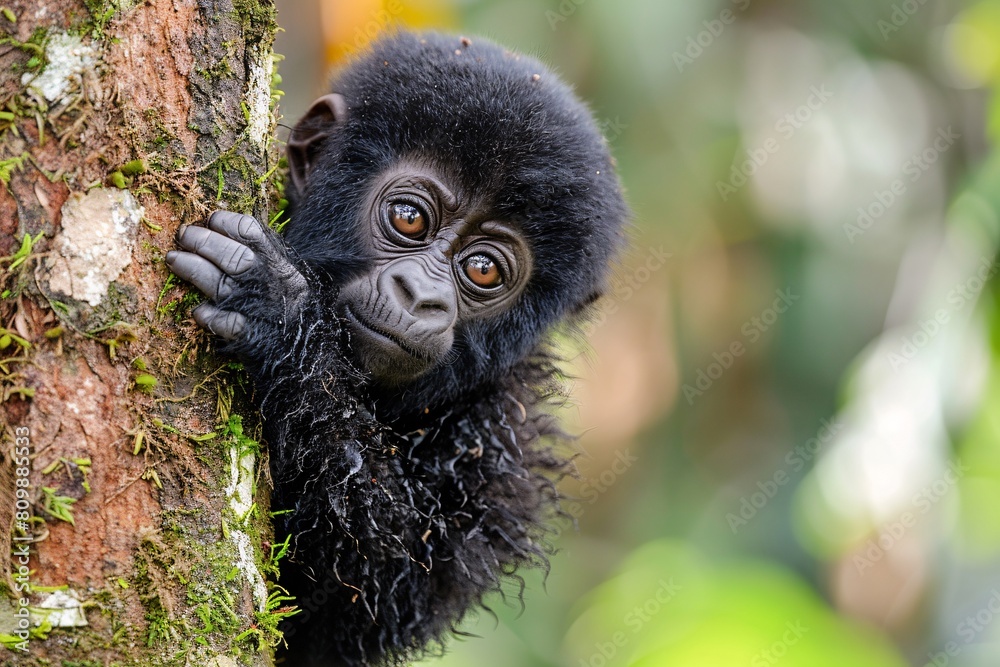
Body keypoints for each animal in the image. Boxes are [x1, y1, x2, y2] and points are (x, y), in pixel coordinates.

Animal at [165, 31, 628, 666]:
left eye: (483, 270)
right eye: (409, 218)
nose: (420, 296)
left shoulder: (501, 444)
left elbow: (376, 588)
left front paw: (280, 318)